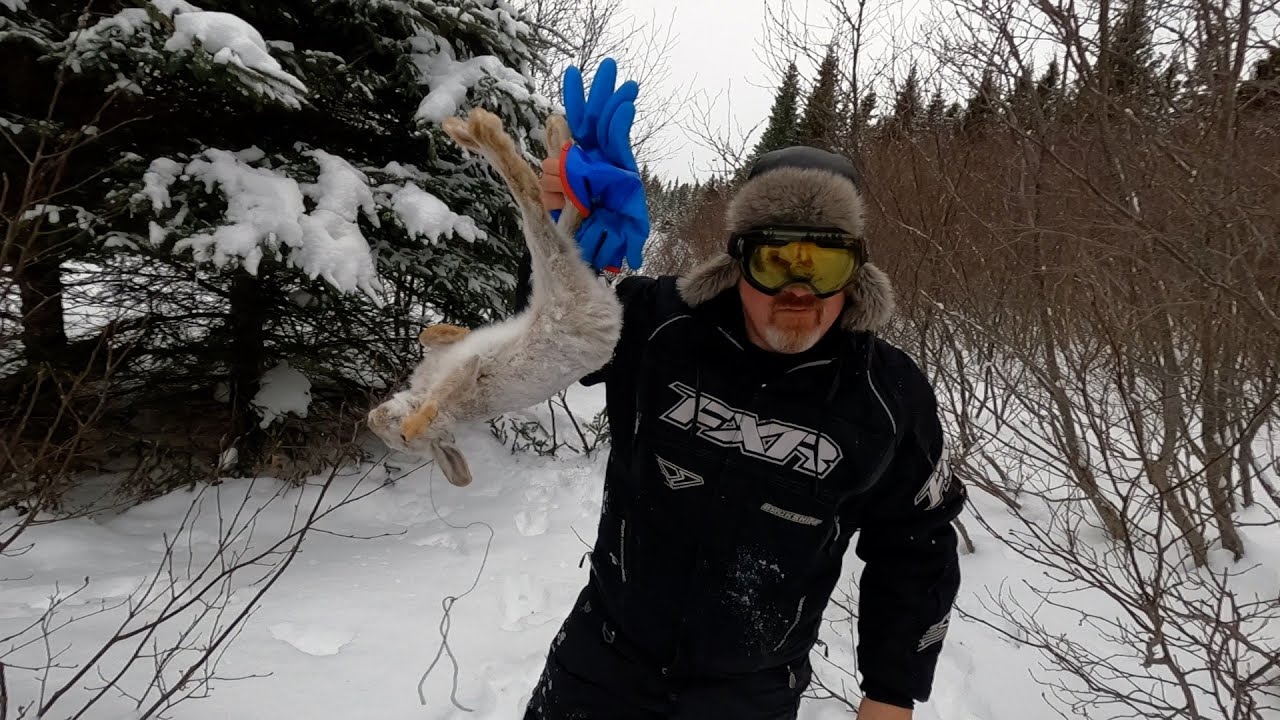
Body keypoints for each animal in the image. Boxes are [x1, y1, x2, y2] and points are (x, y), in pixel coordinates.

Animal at [366, 108, 623, 487]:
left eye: (401, 439)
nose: (372, 419)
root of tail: (611, 317)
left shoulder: (454, 383)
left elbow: (449, 383)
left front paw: (425, 413)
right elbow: (427, 335)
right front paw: (457, 331)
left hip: (558, 277)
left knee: (528, 193)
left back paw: (483, 128)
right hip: (558, 268)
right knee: (565, 214)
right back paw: (549, 136)